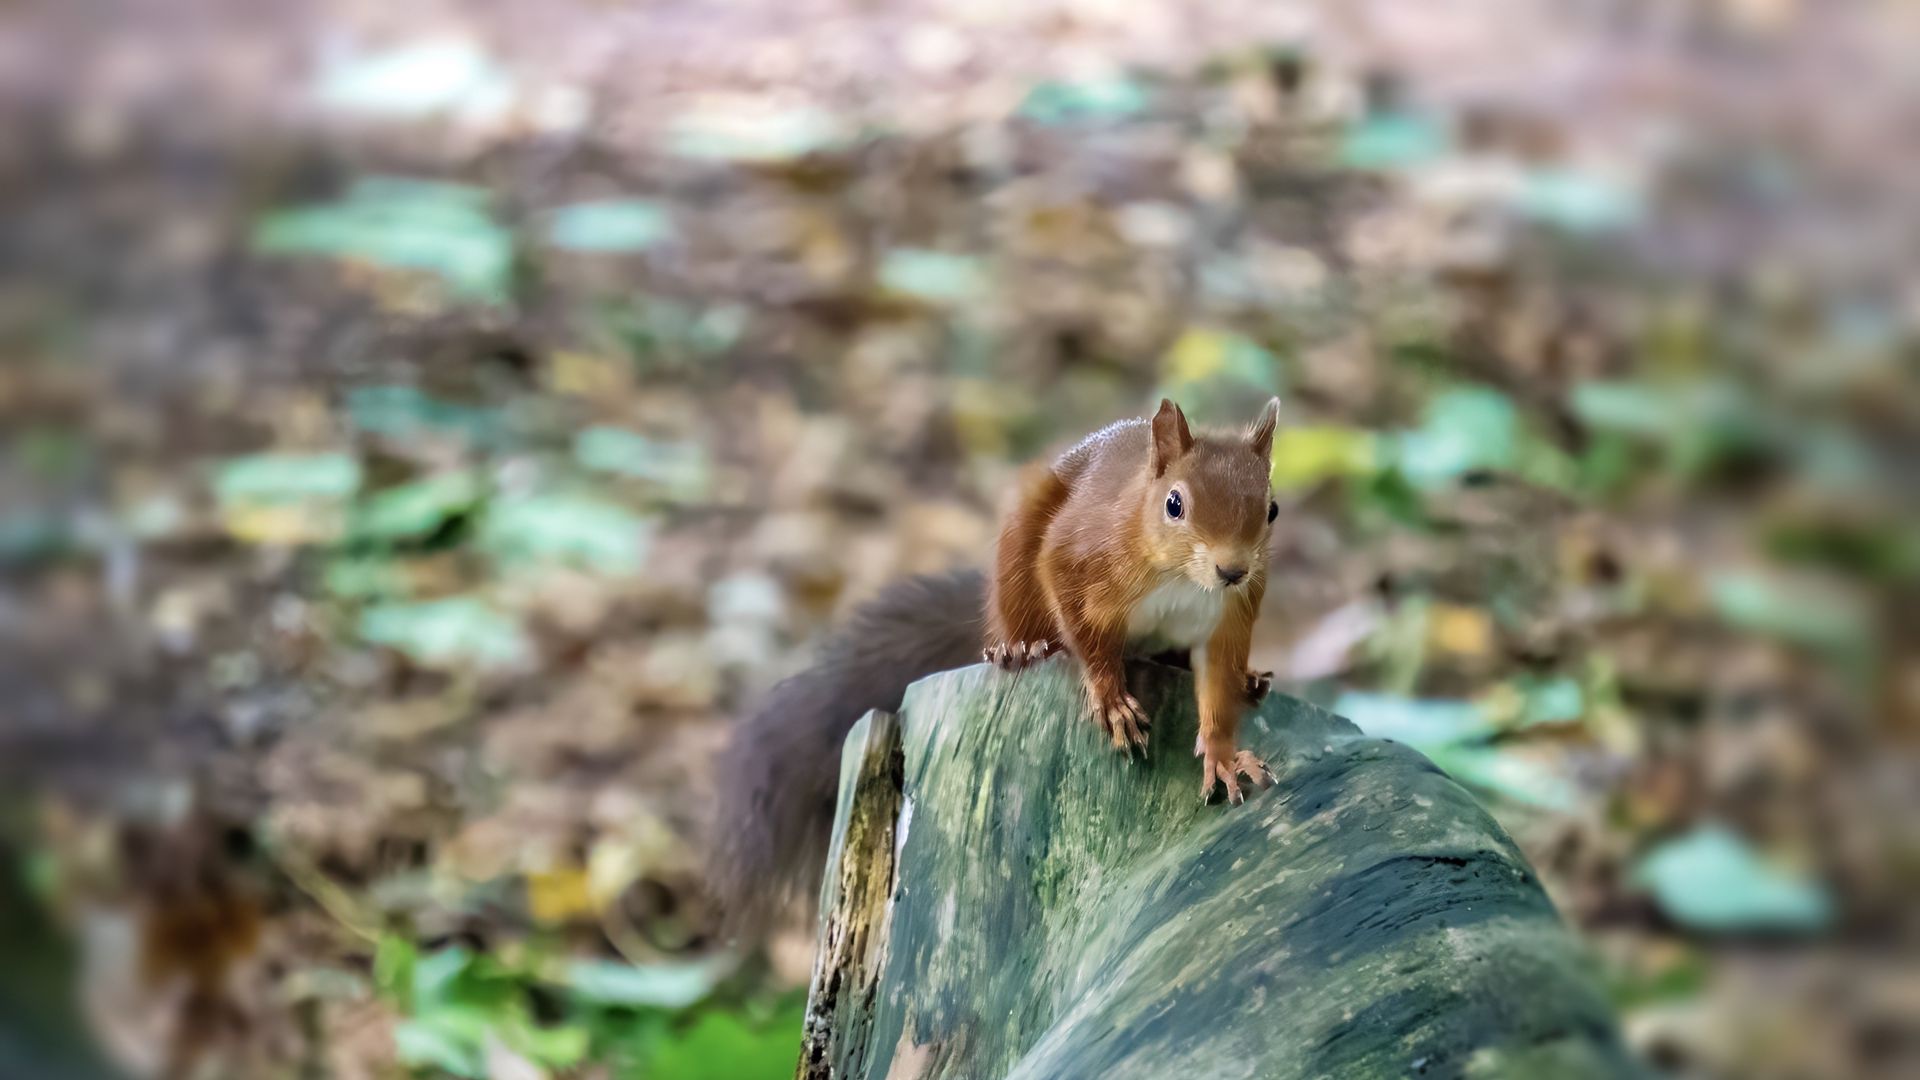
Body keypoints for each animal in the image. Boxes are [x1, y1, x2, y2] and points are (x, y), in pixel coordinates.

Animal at [713, 398, 1282, 934]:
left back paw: (1251, 680)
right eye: (1174, 504)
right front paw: (1111, 698)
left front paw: (1222, 754)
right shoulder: (1081, 556)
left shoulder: (1229, 621)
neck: (1182, 580)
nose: (1232, 570)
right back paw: (1021, 649)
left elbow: (1218, 688)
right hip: (1017, 553)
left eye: (1272, 508)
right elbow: (1083, 627)